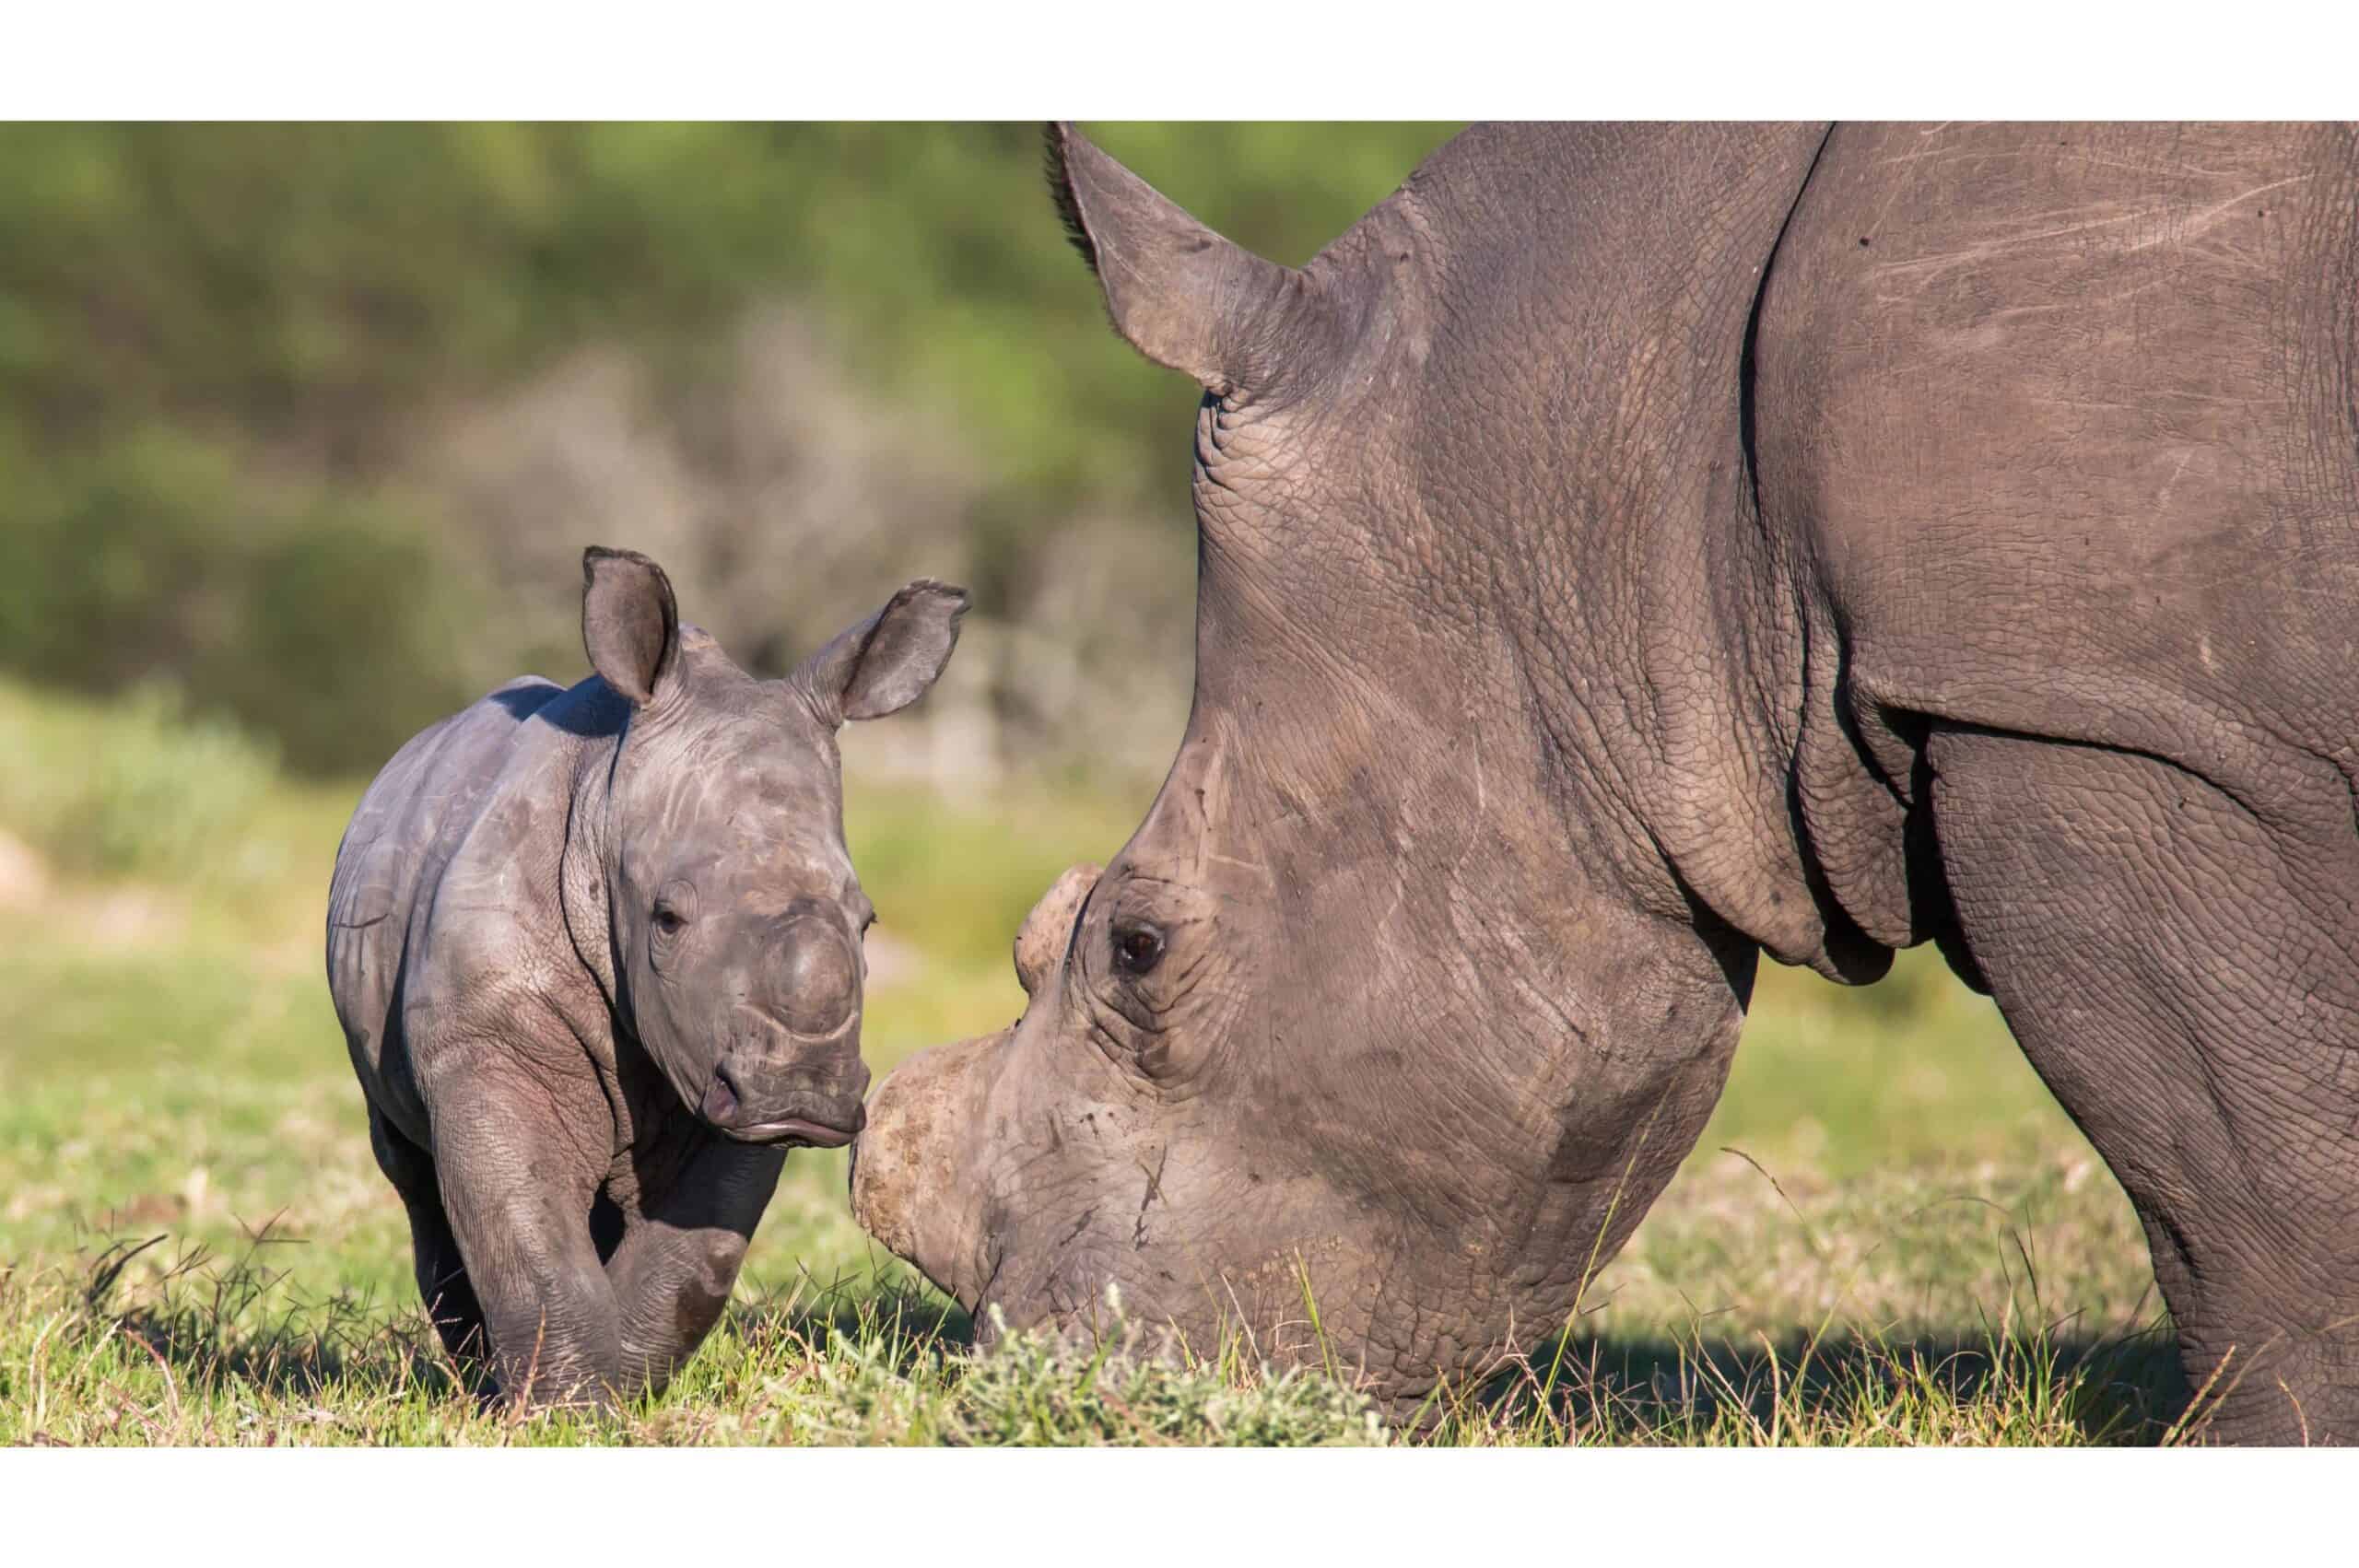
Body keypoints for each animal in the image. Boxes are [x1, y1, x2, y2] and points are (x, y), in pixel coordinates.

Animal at [330, 547, 966, 1407]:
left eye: (867, 923)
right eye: (665, 919)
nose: (804, 1092)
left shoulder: (725, 1071)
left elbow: (696, 1254)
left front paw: (626, 1388)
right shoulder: (487, 1034)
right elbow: (522, 1226)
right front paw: (569, 1408)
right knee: (415, 1177)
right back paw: (476, 1381)